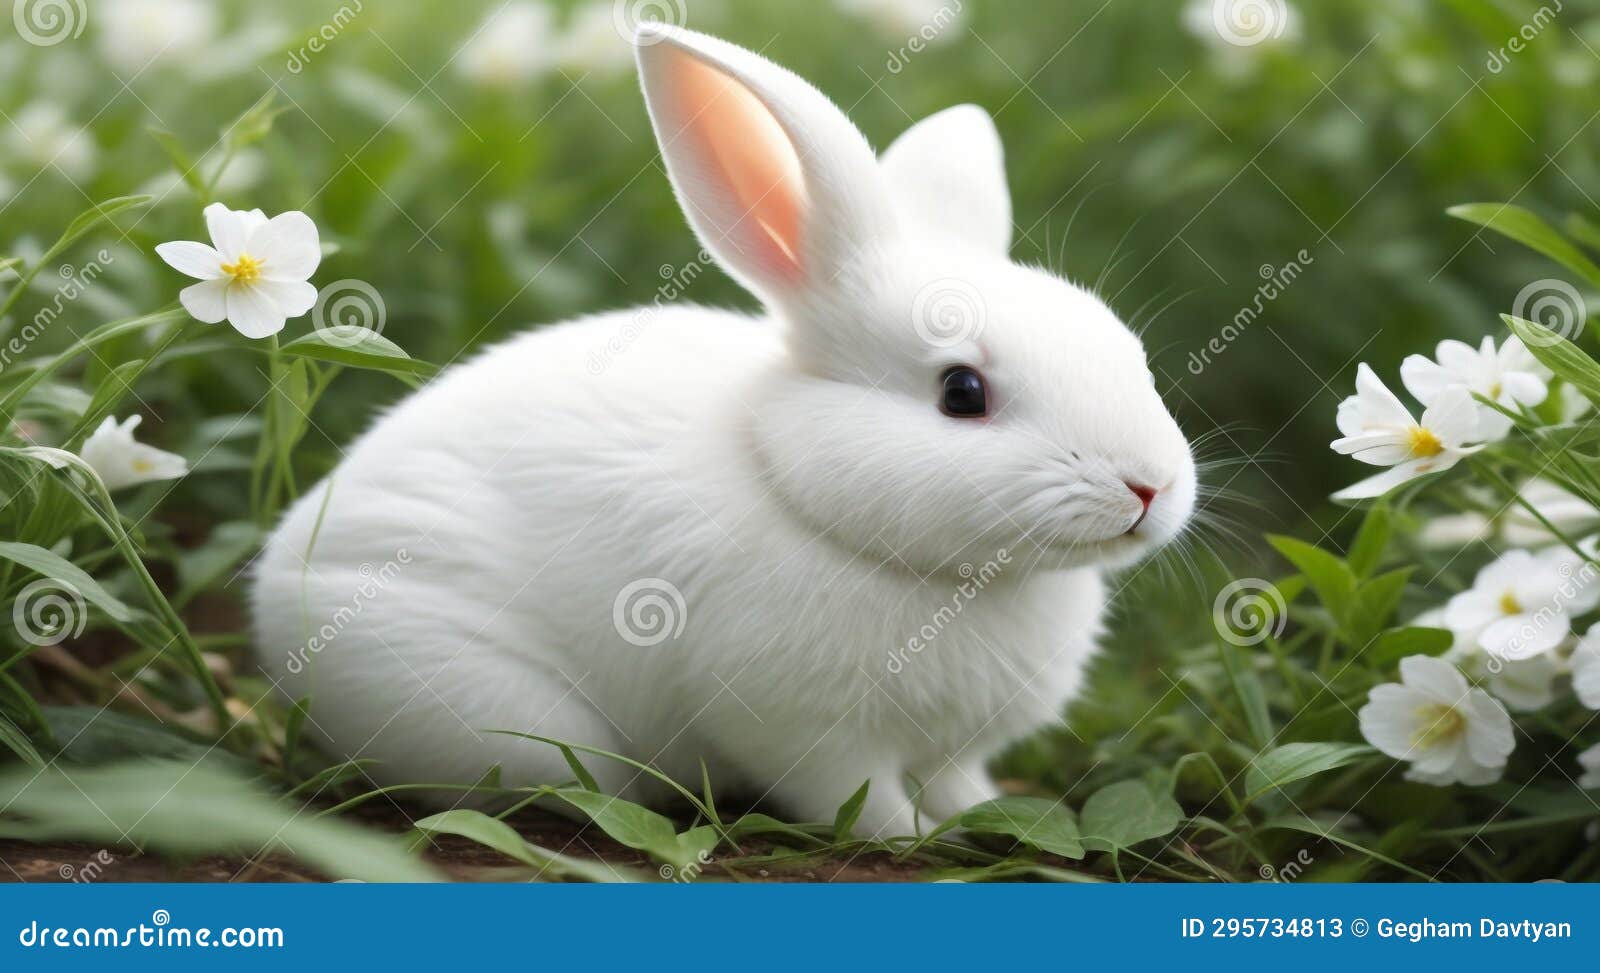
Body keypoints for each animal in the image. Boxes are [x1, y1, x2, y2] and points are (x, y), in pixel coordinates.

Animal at [250, 24, 1197, 838]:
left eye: (1131, 353)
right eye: (962, 392)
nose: (1148, 486)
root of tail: (274, 599)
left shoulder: (955, 745)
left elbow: (960, 781)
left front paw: (974, 816)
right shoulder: (803, 726)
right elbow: (857, 795)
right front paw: (914, 837)